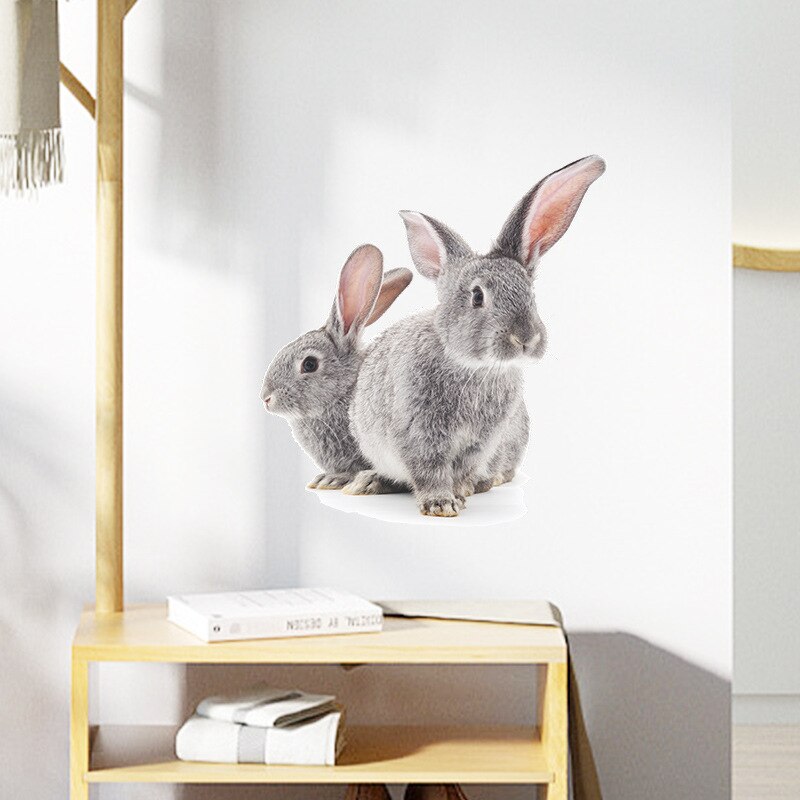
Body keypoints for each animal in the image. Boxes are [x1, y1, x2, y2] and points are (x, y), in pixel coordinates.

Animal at [345, 155, 605, 516]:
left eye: (531, 295)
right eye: (477, 297)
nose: (525, 339)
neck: (476, 368)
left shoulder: (480, 442)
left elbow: (463, 469)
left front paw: (461, 493)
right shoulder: (419, 434)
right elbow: (430, 469)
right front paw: (441, 504)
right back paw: (369, 482)